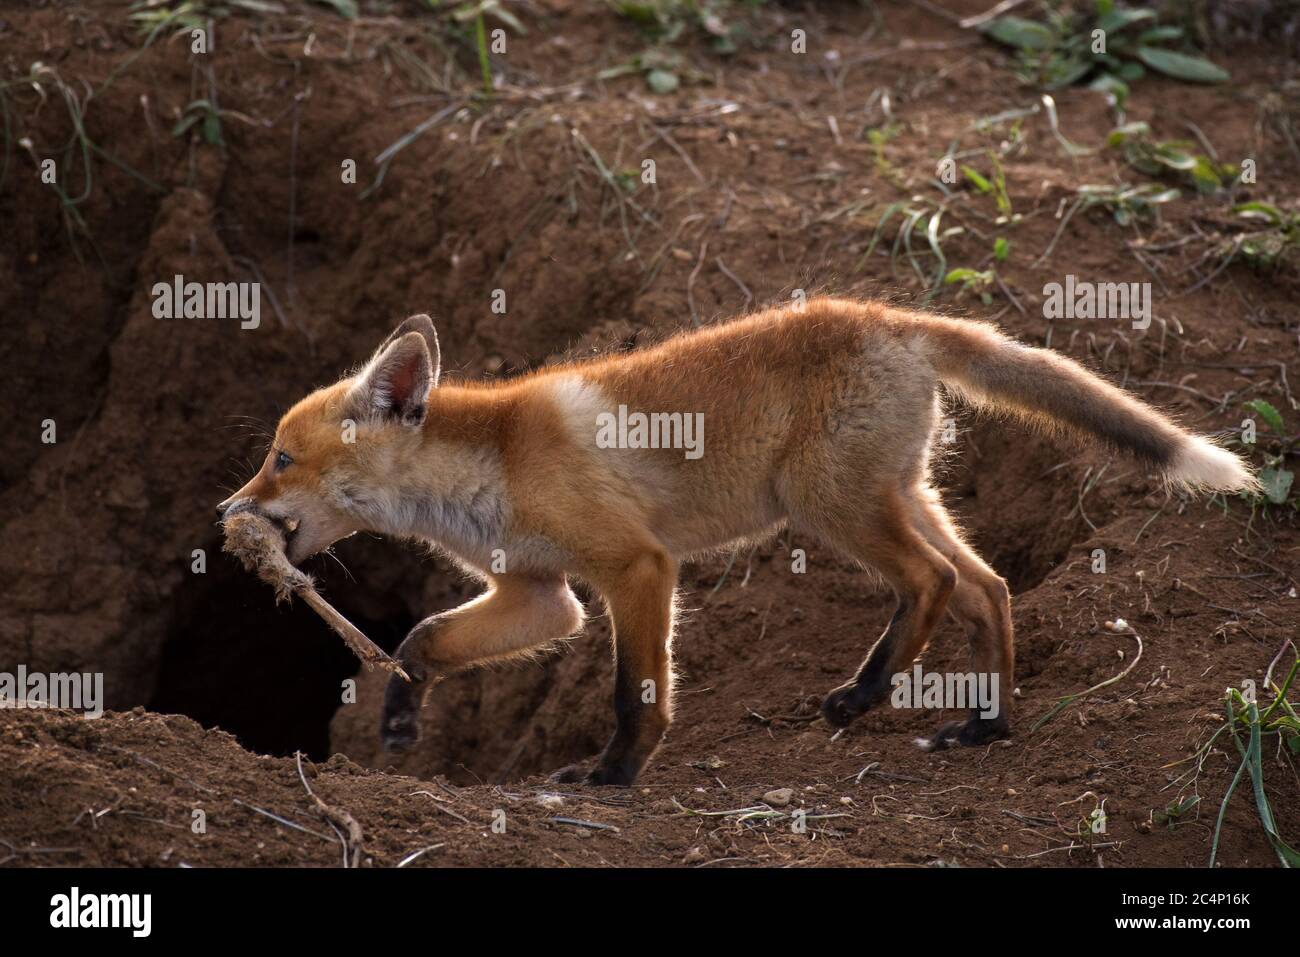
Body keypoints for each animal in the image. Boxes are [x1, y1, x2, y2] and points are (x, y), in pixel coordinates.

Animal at [216, 297, 1257, 785]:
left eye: (278, 457)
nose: (227, 506)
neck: (494, 467)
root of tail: (892, 316)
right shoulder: (543, 594)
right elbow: (424, 638)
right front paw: (401, 710)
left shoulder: (637, 567)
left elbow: (638, 694)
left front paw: (612, 776)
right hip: (899, 495)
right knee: (988, 586)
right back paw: (985, 723)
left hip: (827, 505)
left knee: (929, 583)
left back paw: (863, 695)